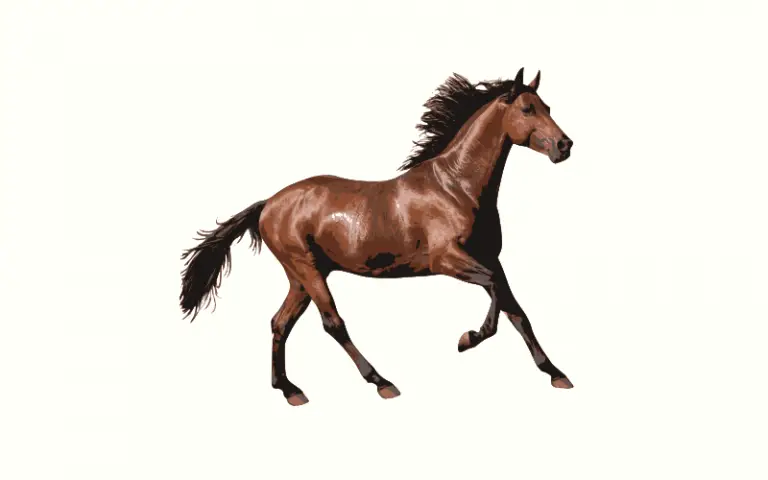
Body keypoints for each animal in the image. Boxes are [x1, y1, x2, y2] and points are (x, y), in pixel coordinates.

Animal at [179, 67, 575, 406]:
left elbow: (516, 310)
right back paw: (381, 382)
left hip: (302, 276)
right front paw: (467, 339)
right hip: (306, 269)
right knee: (332, 323)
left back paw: (289, 389)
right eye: (527, 108)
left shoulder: (490, 257)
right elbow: (494, 291)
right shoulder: (447, 259)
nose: (565, 145)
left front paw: (556, 374)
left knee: (280, 322)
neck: (456, 188)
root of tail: (268, 204)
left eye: (547, 107)